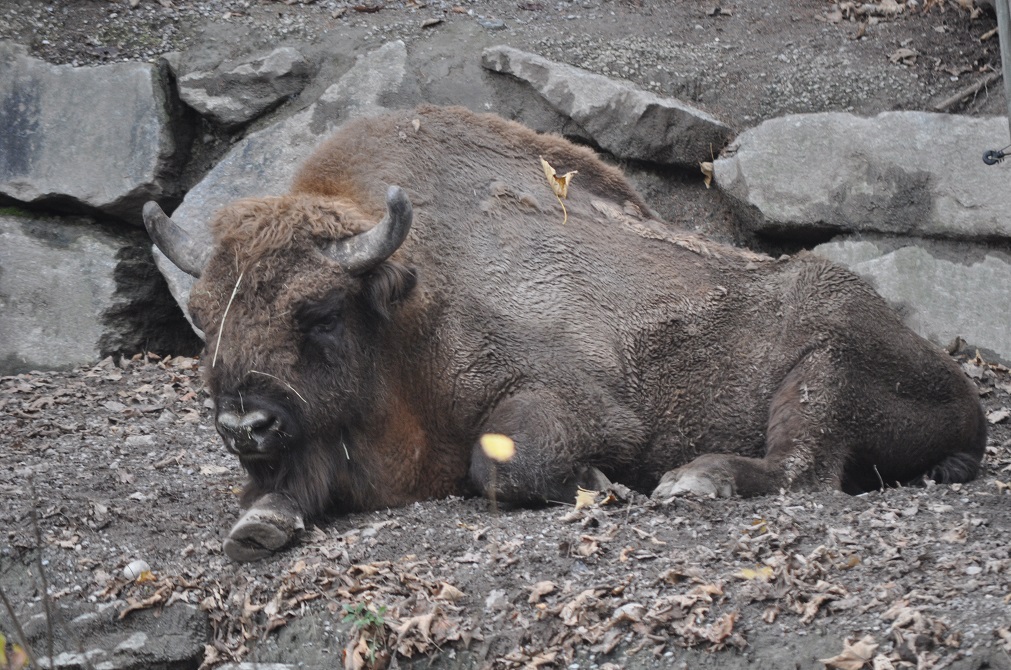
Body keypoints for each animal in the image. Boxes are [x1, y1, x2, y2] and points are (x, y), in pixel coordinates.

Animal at [145, 105, 986, 562]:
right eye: (204, 315)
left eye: (317, 311)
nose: (244, 423)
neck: (408, 312)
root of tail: (969, 403)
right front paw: (257, 527)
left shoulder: (578, 406)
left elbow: (502, 463)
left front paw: (605, 486)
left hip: (824, 362)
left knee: (803, 471)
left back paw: (691, 482)